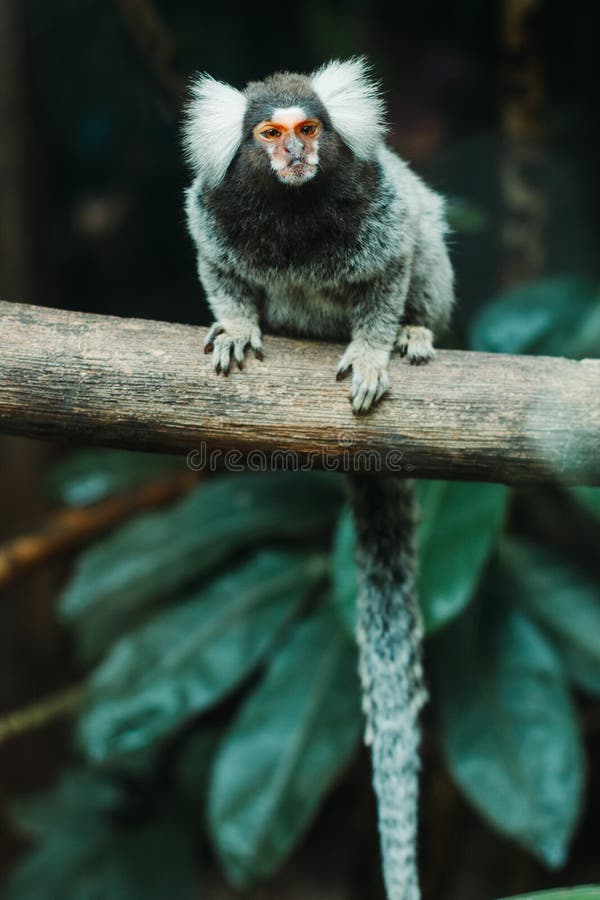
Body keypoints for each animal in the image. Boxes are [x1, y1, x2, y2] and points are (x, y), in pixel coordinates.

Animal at [183, 58, 454, 900]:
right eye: (269, 134)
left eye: (309, 129)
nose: (296, 154)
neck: (293, 211)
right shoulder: (213, 221)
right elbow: (221, 274)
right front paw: (238, 325)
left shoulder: (384, 213)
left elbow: (395, 263)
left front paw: (376, 345)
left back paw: (414, 333)